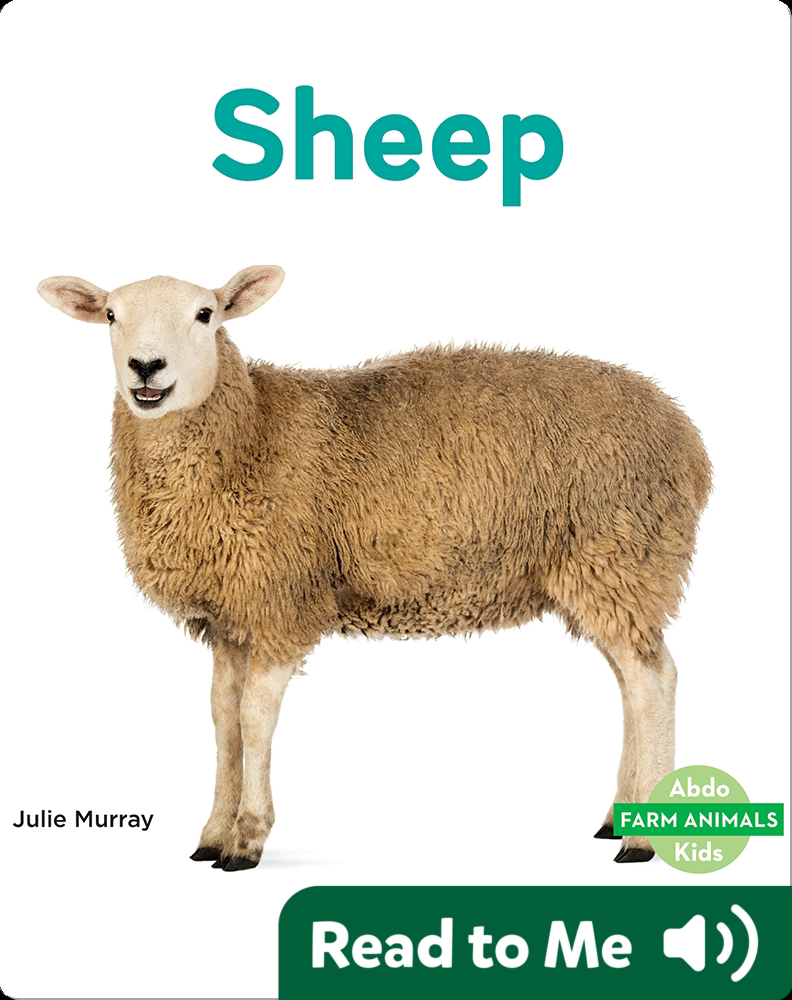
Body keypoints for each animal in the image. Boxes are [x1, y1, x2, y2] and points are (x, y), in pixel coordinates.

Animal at [37, 266, 712, 871]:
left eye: (206, 314)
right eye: (111, 315)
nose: (146, 368)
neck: (251, 431)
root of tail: (687, 436)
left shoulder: (283, 601)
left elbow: (255, 722)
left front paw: (247, 840)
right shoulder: (231, 616)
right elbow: (223, 722)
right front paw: (210, 835)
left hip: (622, 553)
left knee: (655, 681)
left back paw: (642, 841)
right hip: (605, 574)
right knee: (629, 684)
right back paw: (620, 817)